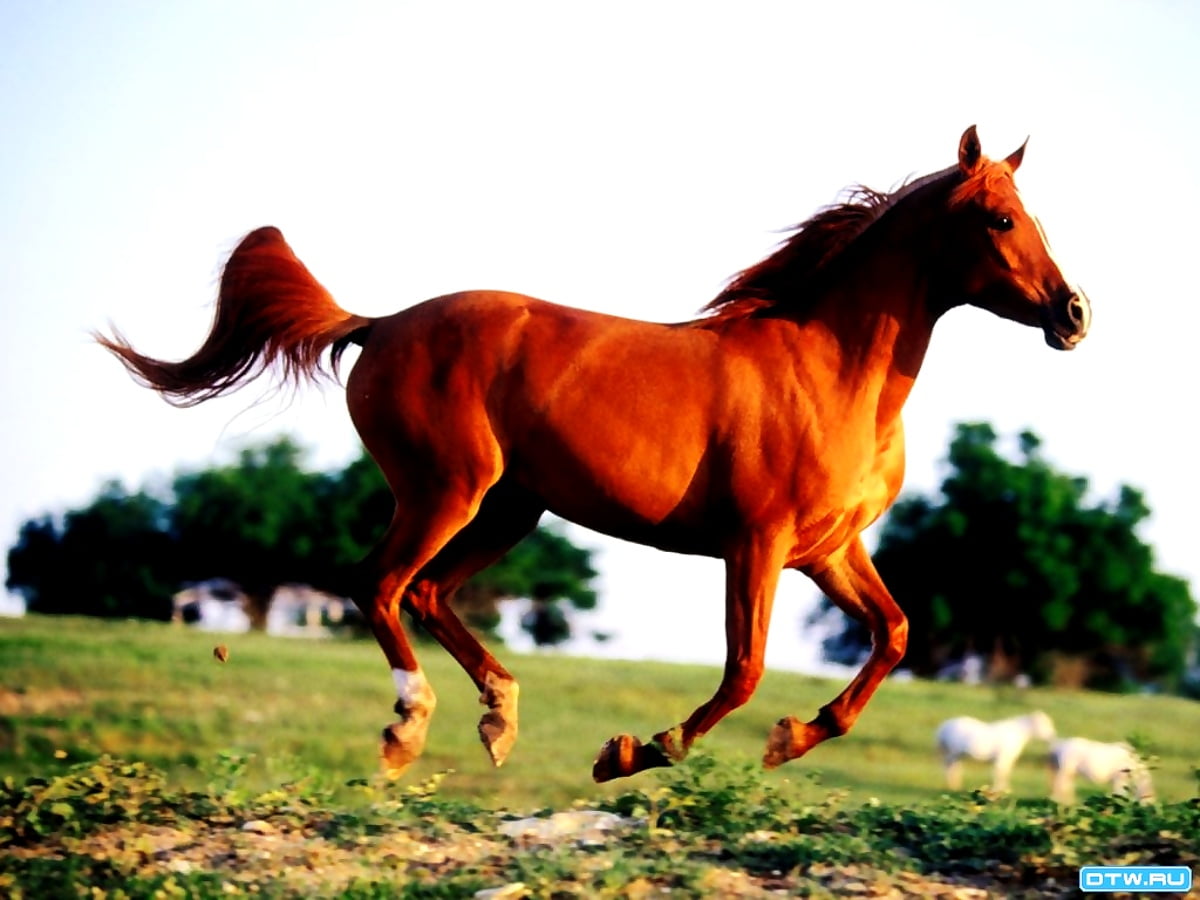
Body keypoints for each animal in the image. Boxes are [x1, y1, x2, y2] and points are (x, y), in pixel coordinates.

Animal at [95, 125, 1090, 782]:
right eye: (1001, 219)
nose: (1074, 314)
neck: (830, 370)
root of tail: (379, 324)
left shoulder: (830, 550)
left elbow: (894, 634)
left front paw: (792, 737)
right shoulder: (757, 544)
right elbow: (744, 670)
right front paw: (640, 751)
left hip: (511, 507)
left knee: (428, 592)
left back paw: (499, 721)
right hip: (446, 490)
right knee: (379, 584)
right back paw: (409, 729)